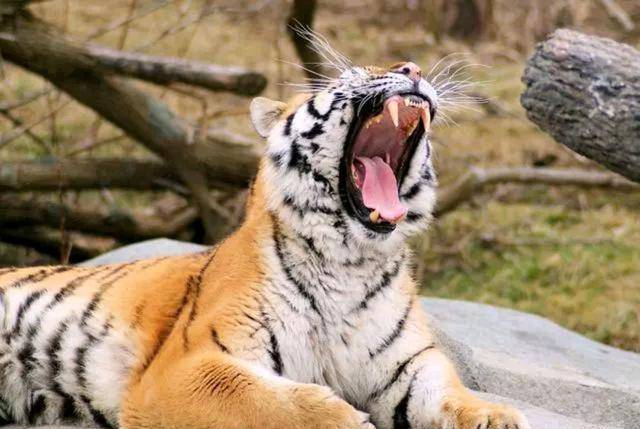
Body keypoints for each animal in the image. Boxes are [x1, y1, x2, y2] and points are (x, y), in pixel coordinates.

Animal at [0, 49, 531, 429]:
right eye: (351, 73)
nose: (414, 68)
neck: (350, 261)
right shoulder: (186, 367)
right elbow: (270, 402)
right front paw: (346, 421)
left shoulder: (407, 364)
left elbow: (449, 392)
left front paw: (496, 416)